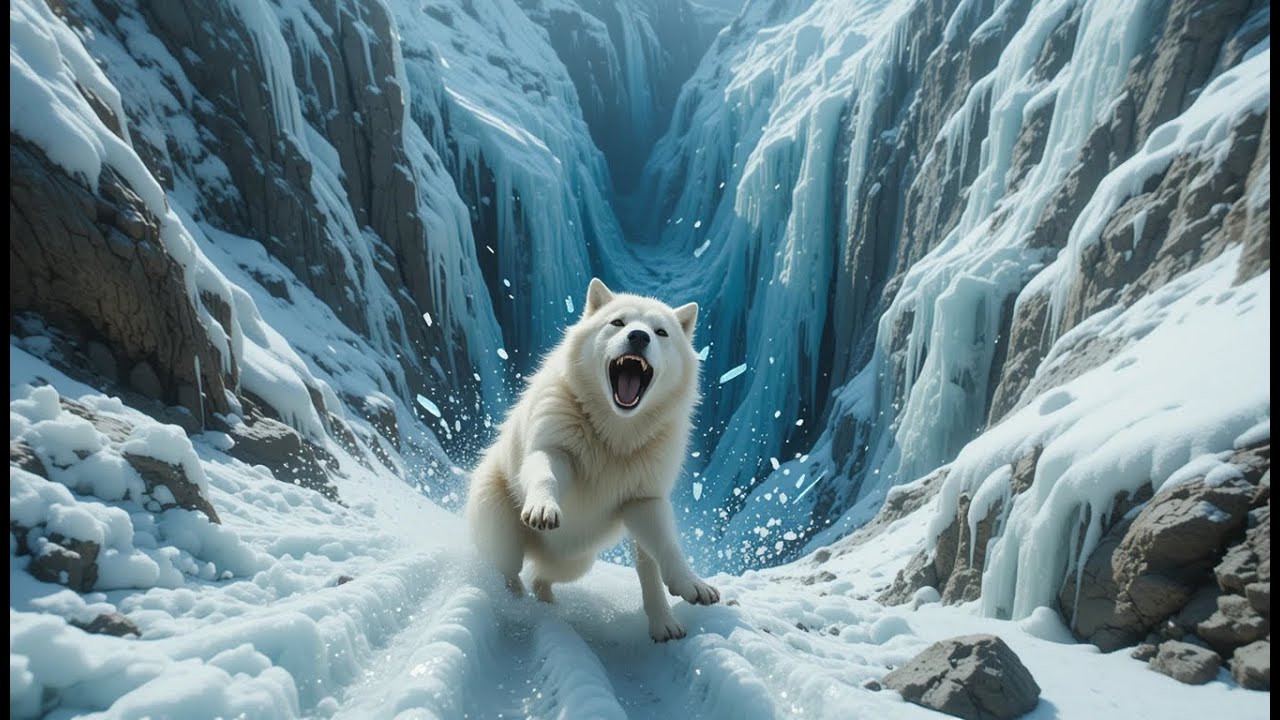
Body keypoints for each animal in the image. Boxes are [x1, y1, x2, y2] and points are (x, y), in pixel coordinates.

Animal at [466, 278, 719, 641]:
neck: (615, 435)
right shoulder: (554, 450)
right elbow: (545, 473)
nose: (638, 337)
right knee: (509, 575)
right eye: (618, 322)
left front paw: (683, 599)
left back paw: (548, 604)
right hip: (502, 534)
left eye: (661, 332)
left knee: (541, 577)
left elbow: (664, 550)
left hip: (576, 561)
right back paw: (516, 606)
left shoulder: (644, 499)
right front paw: (543, 509)